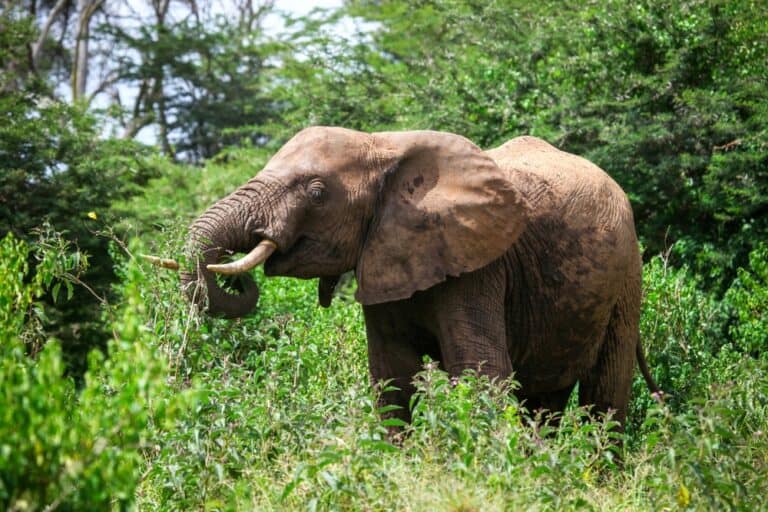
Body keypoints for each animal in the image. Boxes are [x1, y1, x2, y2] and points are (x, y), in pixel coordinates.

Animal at [152, 126, 659, 429]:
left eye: (317, 193)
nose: (236, 272)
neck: (382, 146)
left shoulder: (480, 264)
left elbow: (480, 373)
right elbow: (391, 376)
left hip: (627, 276)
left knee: (605, 394)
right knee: (545, 398)